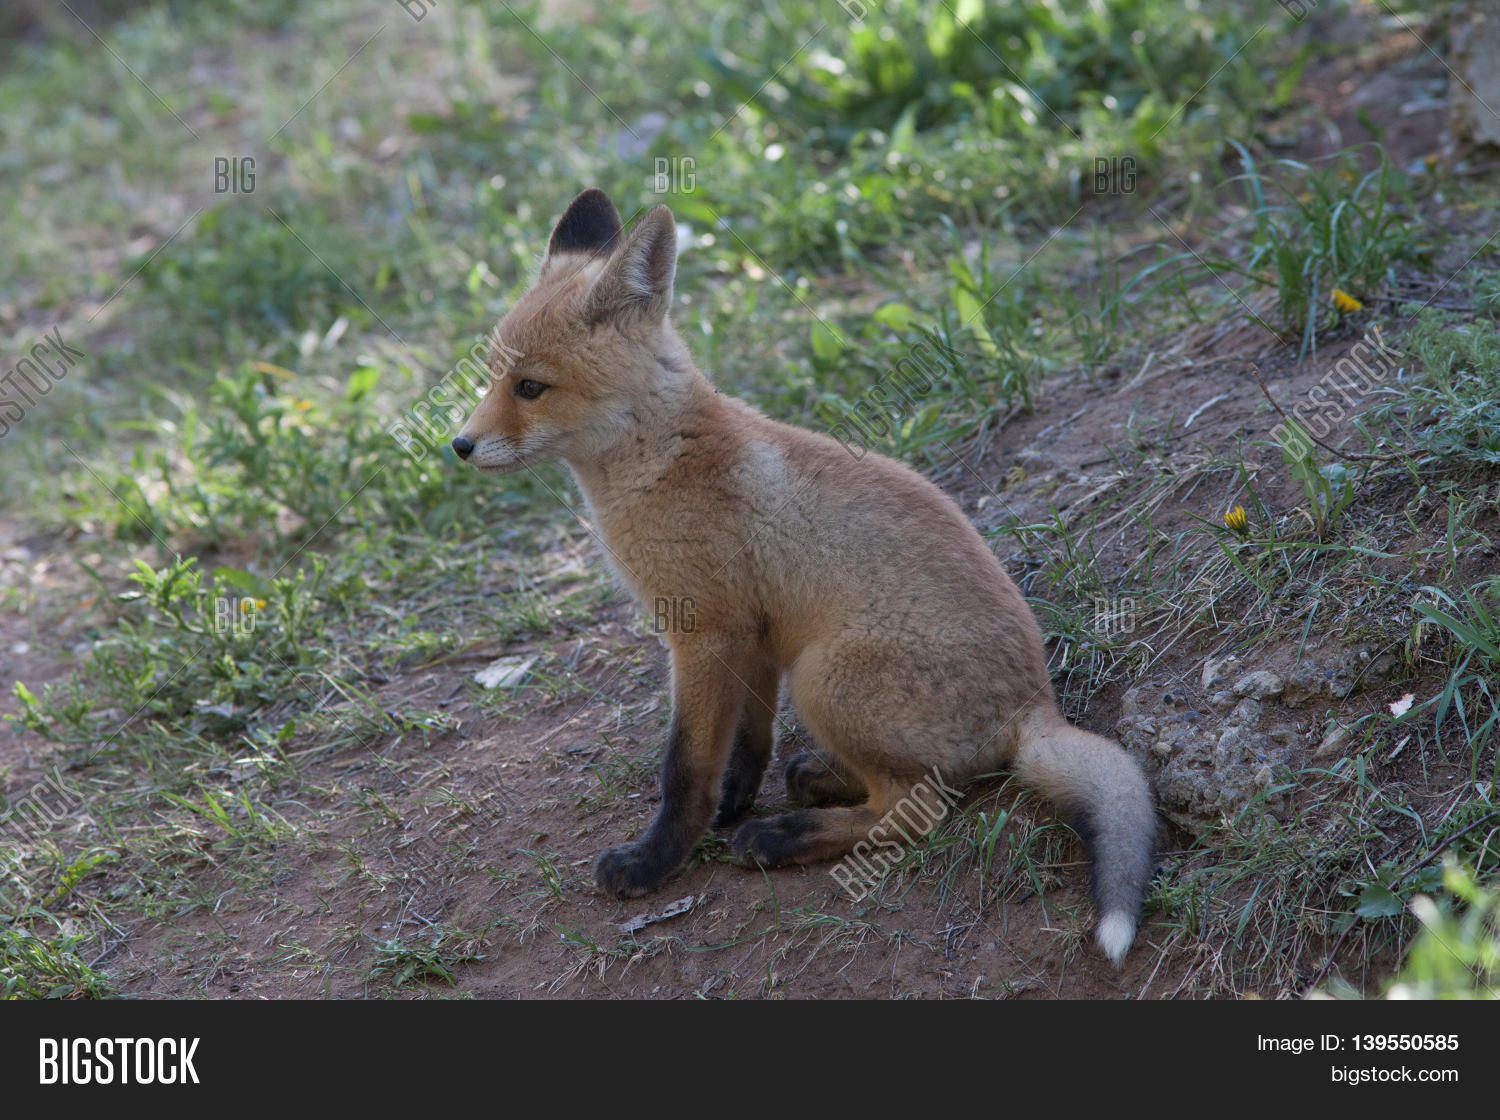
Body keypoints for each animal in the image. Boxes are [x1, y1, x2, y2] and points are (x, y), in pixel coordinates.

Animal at [453, 189, 1156, 965]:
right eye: (491, 376)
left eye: (530, 387)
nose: (459, 445)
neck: (663, 462)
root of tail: (1035, 710)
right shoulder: (754, 634)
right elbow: (747, 746)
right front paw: (732, 805)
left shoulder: (703, 633)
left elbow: (684, 770)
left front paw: (657, 860)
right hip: (816, 674)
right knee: (907, 781)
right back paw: (815, 780)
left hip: (825, 676)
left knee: (917, 810)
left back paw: (779, 838)